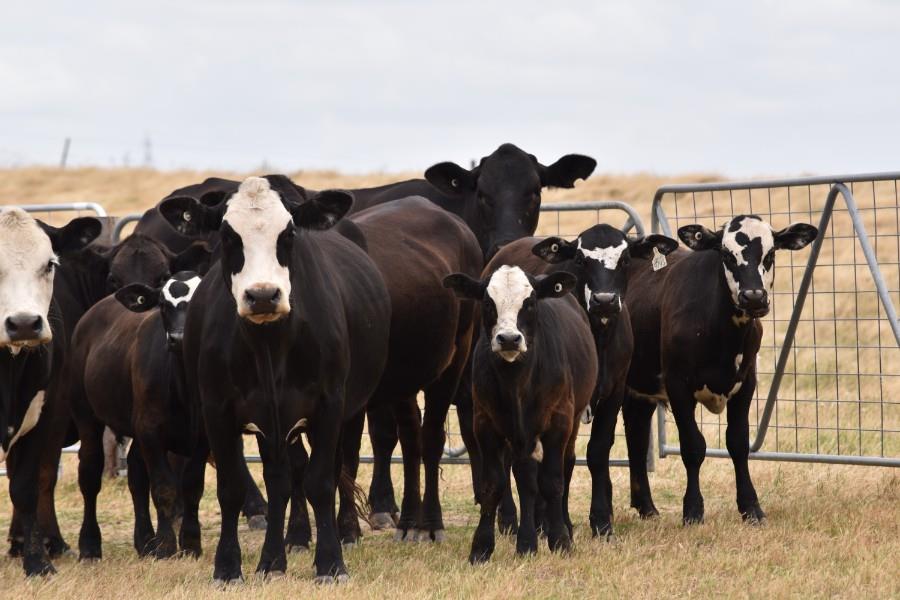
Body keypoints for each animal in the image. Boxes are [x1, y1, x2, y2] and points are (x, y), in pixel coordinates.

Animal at [65, 268, 210, 561]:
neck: (182, 387)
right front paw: (166, 546)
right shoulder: (150, 431)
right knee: (89, 473)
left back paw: (144, 542)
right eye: (163, 305)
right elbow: (164, 487)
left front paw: (191, 544)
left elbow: (191, 487)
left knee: (135, 476)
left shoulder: (200, 437)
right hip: (85, 414)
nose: (179, 339)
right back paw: (89, 545)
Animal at [158, 175, 391, 583]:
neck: (270, 345)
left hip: (347, 413)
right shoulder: (218, 411)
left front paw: (331, 564)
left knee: (337, 467)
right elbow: (232, 487)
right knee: (281, 481)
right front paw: (227, 567)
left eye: (289, 233)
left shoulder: (329, 405)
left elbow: (320, 481)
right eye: (228, 236)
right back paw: (273, 560)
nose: (263, 295)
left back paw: (341, 533)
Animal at [444, 265, 597, 563]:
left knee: (566, 465)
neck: (517, 380)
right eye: (488, 302)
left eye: (530, 301)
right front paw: (483, 547)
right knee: (525, 478)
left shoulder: (558, 422)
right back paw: (528, 542)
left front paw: (560, 540)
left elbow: (553, 482)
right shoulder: (486, 425)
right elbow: (494, 484)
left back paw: (563, 528)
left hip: (570, 424)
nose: (509, 339)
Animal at [488, 225, 678, 537]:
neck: (598, 338)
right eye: (579, 259)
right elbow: (560, 459)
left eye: (625, 259)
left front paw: (600, 521)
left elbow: (594, 452)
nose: (604, 301)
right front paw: (556, 523)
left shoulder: (614, 393)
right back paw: (509, 519)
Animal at [624, 215, 817, 524]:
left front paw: (751, 507)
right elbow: (693, 446)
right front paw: (693, 510)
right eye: (726, 255)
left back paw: (647, 507)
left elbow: (738, 443)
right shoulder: (678, 385)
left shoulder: (746, 383)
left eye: (770, 254)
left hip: (640, 386)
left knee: (637, 435)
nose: (754, 296)